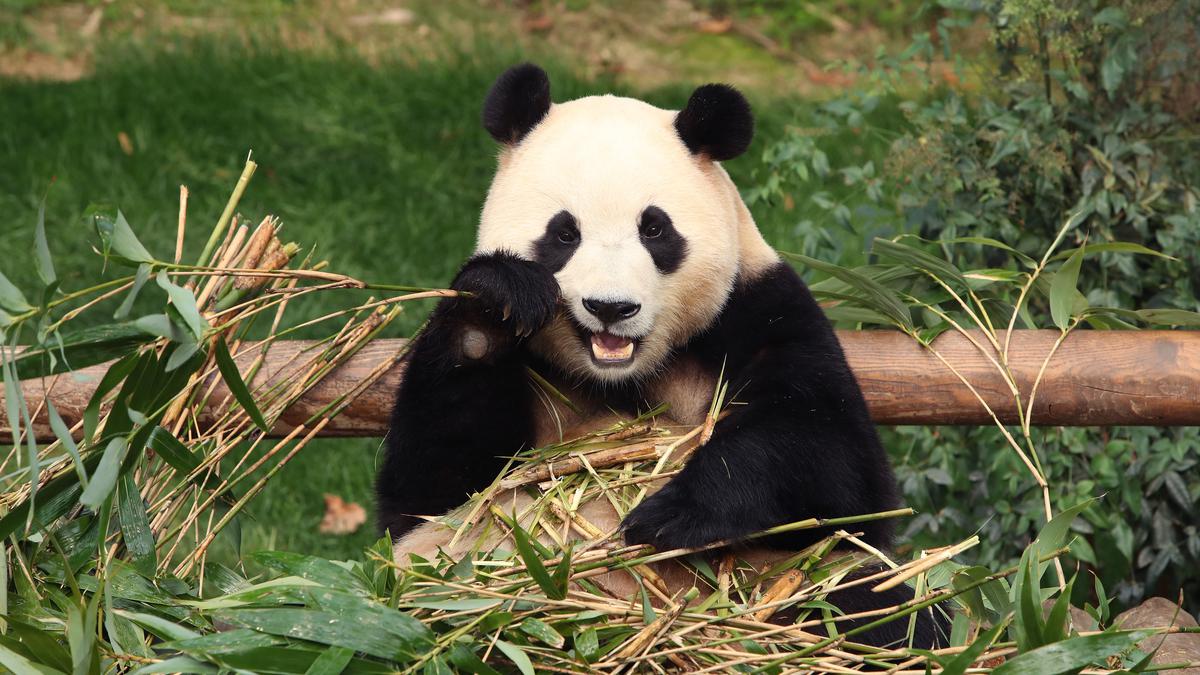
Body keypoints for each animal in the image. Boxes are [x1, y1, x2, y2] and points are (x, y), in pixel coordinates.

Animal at [377, 63, 948, 648]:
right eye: (564, 233)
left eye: (654, 229)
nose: (610, 307)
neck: (625, 375)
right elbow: (429, 491)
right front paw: (496, 300)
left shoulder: (760, 311)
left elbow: (835, 465)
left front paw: (671, 514)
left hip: (789, 582)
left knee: (881, 611)